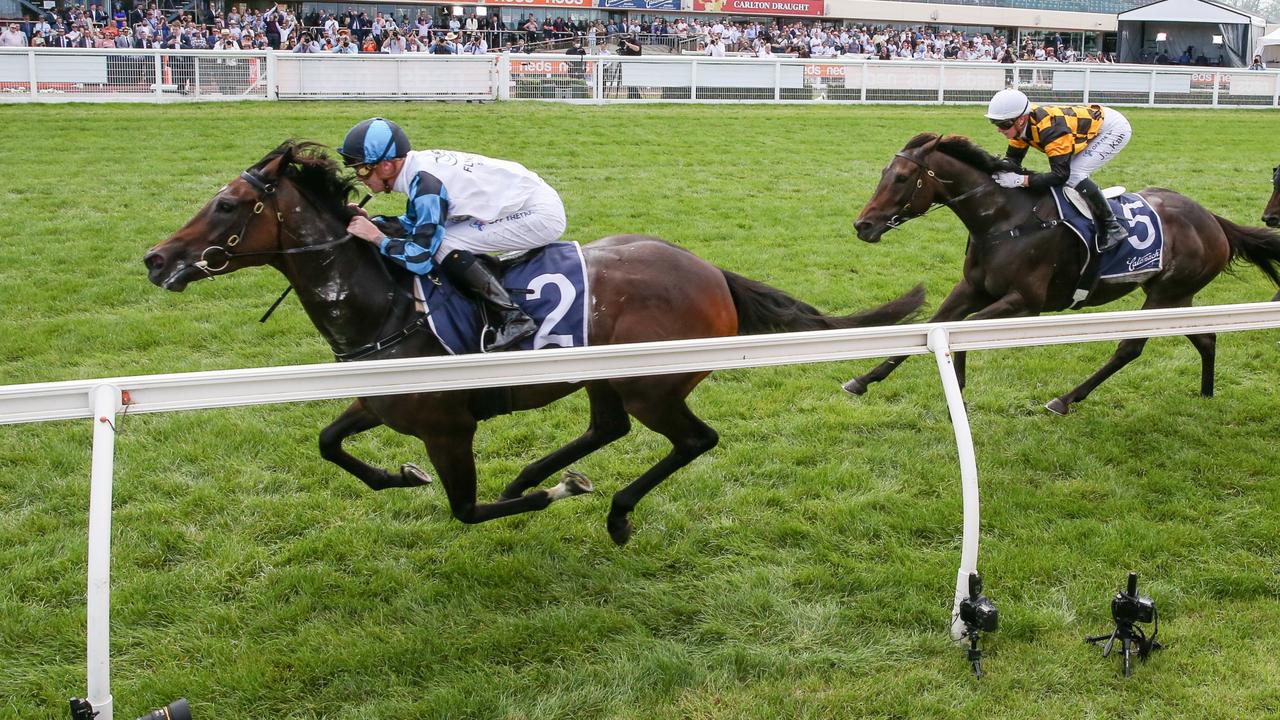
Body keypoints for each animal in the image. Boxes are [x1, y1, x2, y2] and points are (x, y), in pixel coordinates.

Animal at [143, 142, 925, 545]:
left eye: (227, 205)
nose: (155, 259)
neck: (385, 307)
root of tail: (709, 271)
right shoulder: (376, 401)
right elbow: (329, 444)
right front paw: (400, 477)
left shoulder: (448, 428)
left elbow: (464, 509)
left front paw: (556, 493)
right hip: (610, 377)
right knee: (607, 428)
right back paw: (538, 476)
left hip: (652, 385)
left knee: (692, 440)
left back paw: (608, 508)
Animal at [847, 133, 1280, 415]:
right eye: (884, 172)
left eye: (902, 178)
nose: (862, 226)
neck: (1005, 220)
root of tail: (1213, 220)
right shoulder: (972, 289)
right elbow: (932, 326)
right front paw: (864, 380)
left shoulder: (1026, 303)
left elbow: (966, 332)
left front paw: (960, 391)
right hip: (1178, 297)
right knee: (1205, 337)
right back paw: (1206, 394)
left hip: (1165, 295)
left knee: (1130, 349)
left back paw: (1065, 400)